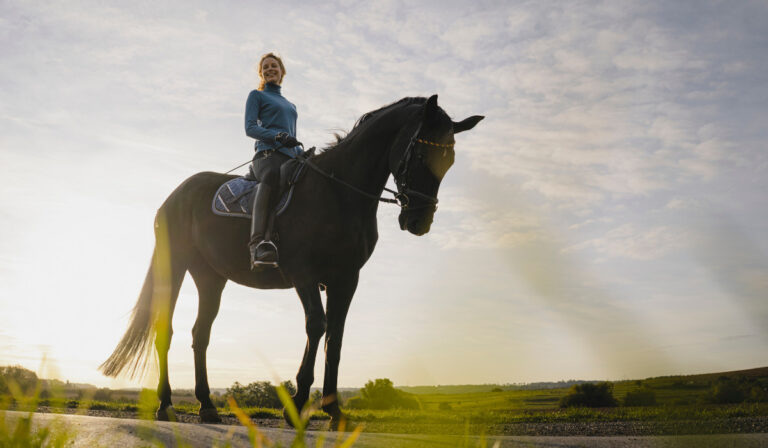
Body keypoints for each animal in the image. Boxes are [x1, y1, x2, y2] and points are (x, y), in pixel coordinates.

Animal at [100, 94, 483, 428]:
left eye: (449, 160)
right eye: (419, 154)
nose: (419, 221)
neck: (339, 192)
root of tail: (174, 196)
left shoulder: (346, 279)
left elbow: (336, 337)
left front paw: (334, 411)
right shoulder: (304, 274)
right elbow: (317, 326)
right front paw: (297, 406)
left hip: (210, 277)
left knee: (201, 333)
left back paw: (207, 406)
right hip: (175, 266)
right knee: (165, 329)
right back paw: (165, 405)